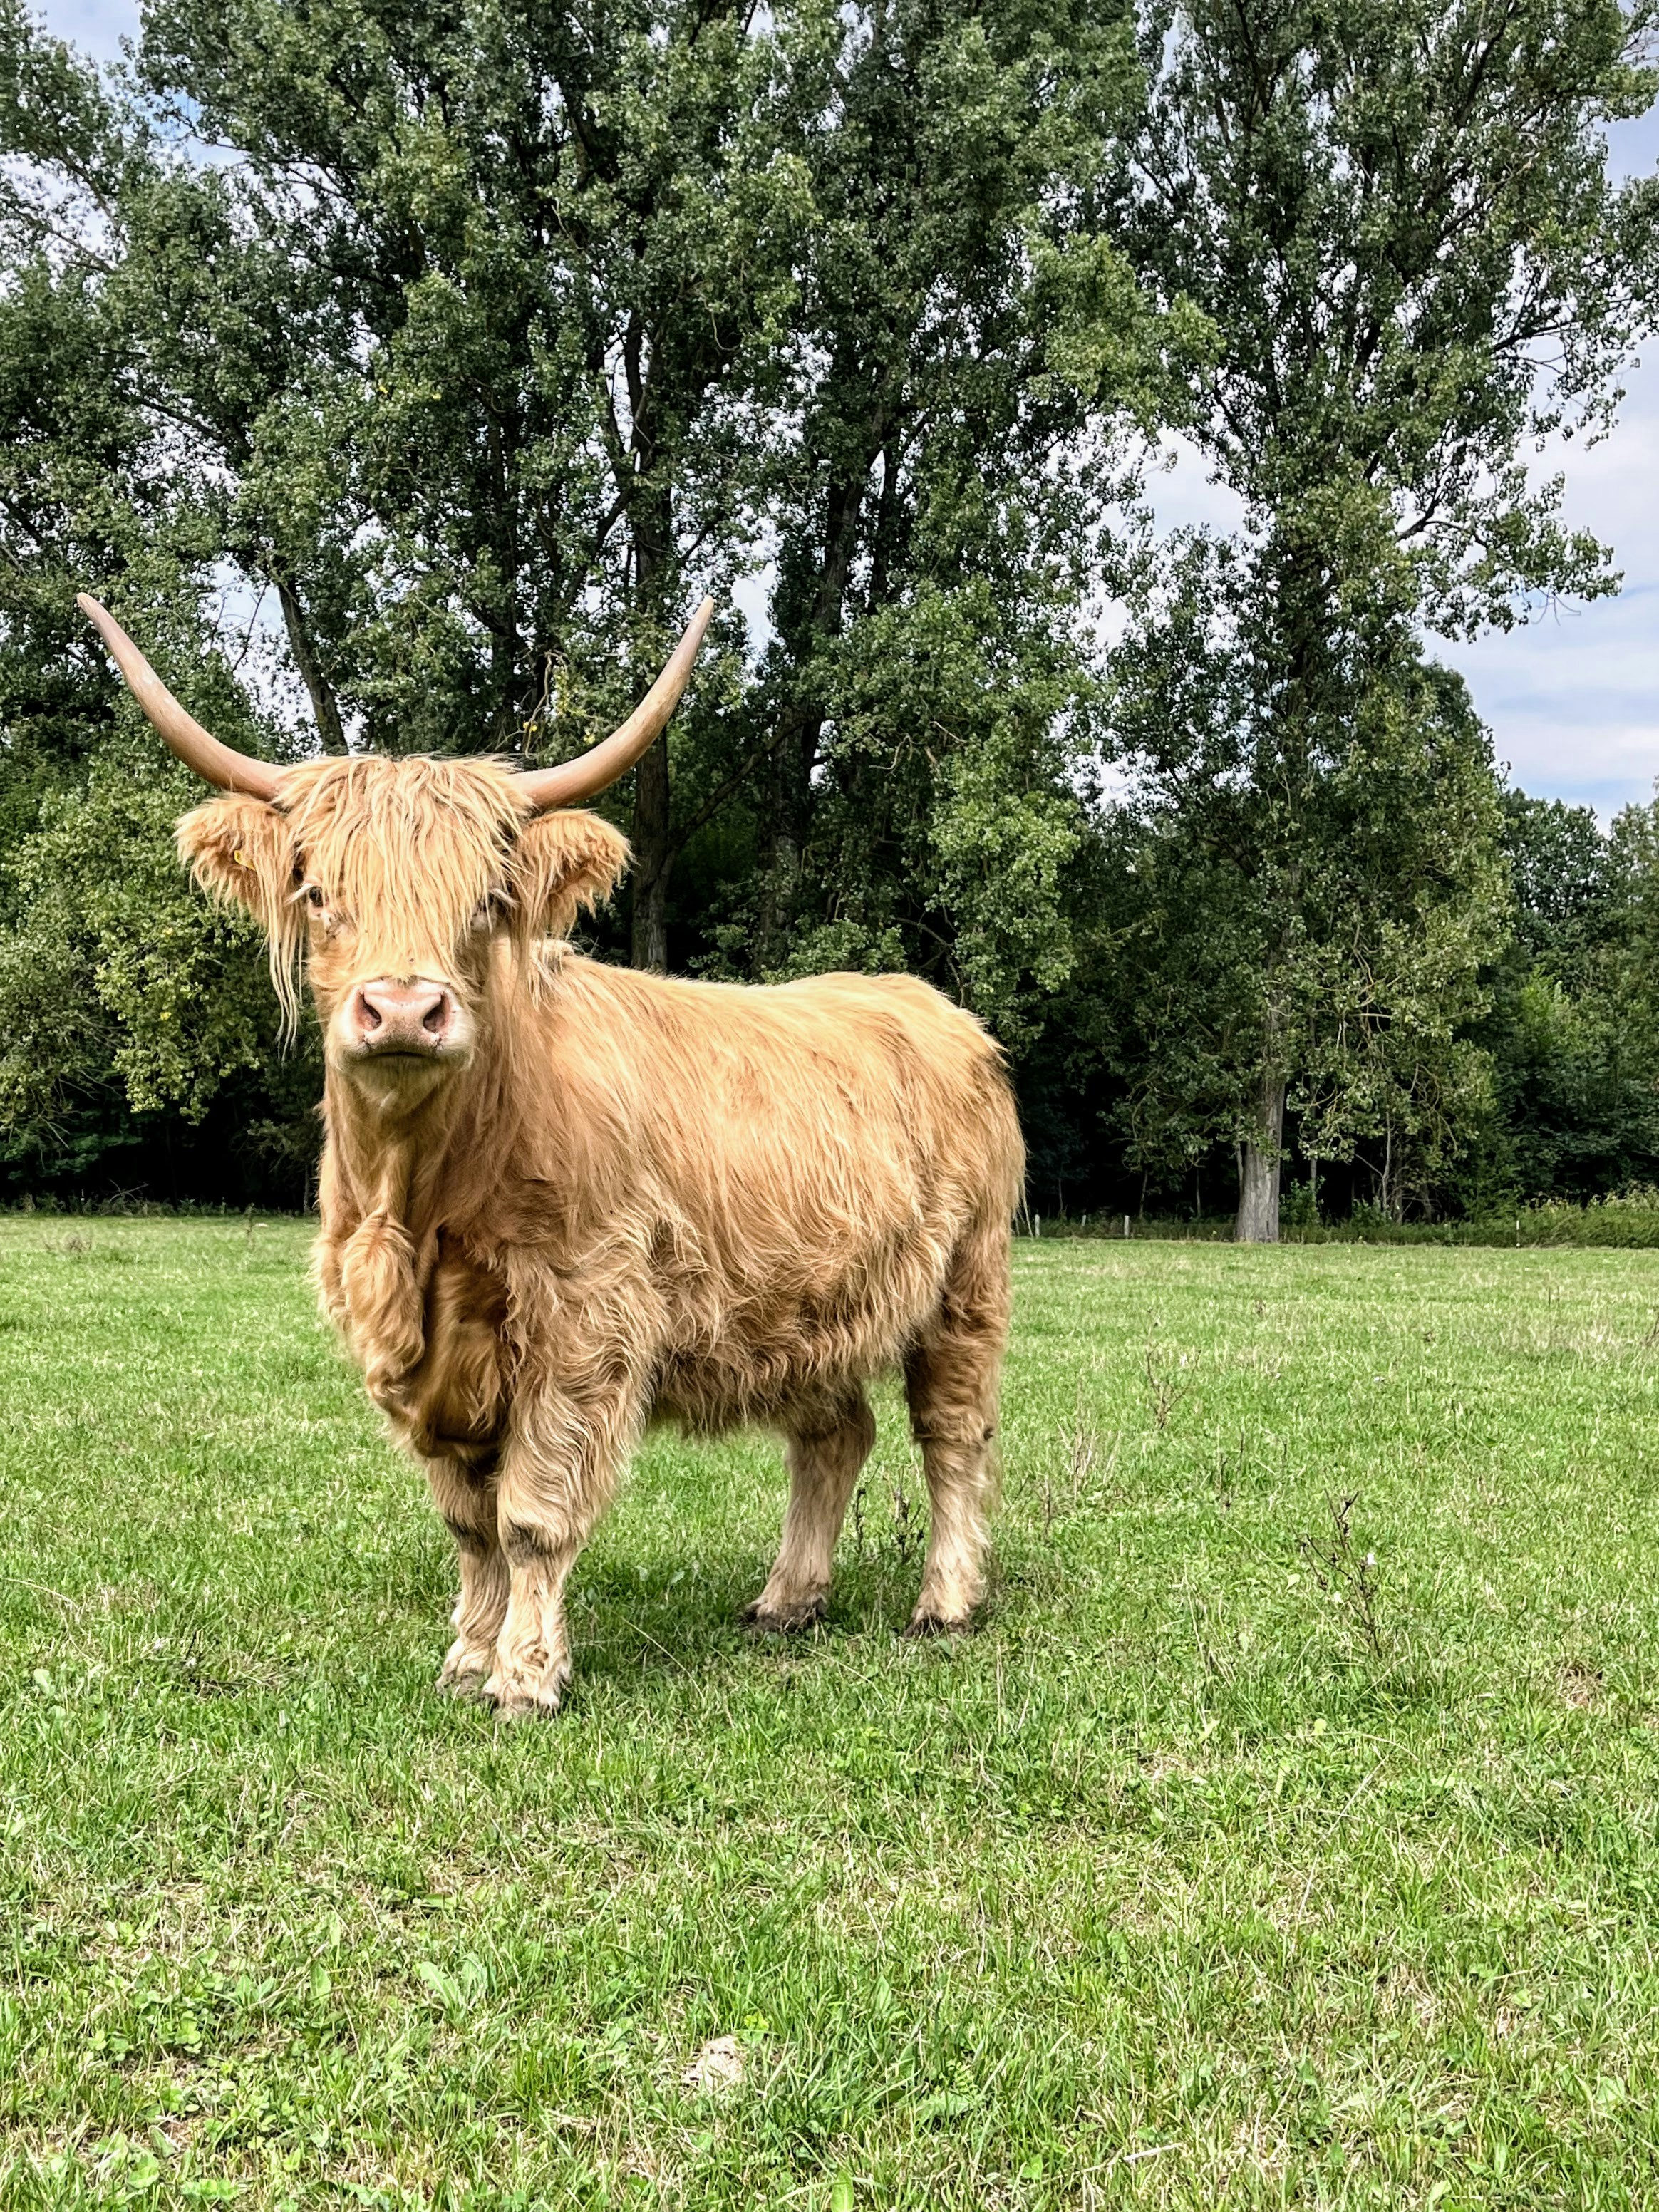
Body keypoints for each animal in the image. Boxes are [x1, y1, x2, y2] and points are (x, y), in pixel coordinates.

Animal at [79, 592, 1025, 1716]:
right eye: (316, 892)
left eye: (487, 901)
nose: (405, 1008)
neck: (419, 1205)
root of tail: (931, 1005)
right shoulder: (413, 1346)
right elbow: (467, 1520)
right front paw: (464, 1658)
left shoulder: (584, 1321)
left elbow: (530, 1516)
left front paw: (527, 1676)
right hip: (812, 1302)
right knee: (834, 1436)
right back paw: (787, 1600)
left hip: (967, 1279)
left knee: (953, 1433)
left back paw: (947, 1603)